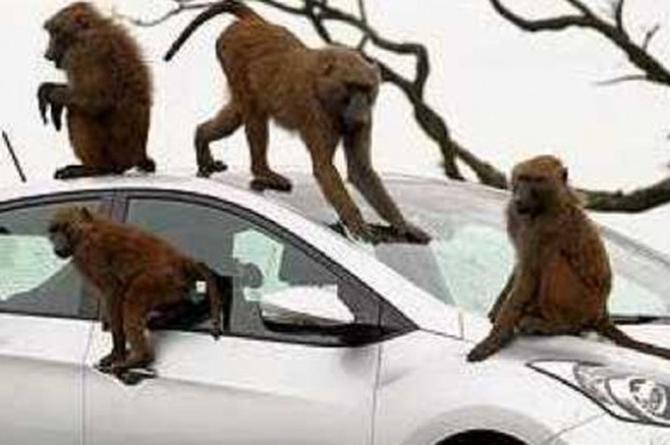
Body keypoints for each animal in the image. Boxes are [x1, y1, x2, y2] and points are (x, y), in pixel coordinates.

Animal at [38, 2, 155, 180]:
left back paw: (95, 169)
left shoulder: (81, 54)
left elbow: (97, 101)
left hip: (115, 155)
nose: (47, 54)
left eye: (55, 32)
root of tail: (137, 155)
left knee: (78, 112)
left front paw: (51, 93)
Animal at [47, 207, 228, 375]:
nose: (57, 246)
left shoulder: (91, 252)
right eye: (53, 232)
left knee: (132, 300)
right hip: (171, 286)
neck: (86, 232)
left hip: (158, 279)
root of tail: (182, 260)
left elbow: (113, 290)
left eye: (65, 228)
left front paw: (117, 353)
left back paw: (140, 358)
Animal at [163, 0, 430, 243]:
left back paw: (202, 138)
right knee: (253, 112)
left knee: (238, 113)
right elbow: (324, 167)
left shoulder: (365, 119)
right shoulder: (316, 111)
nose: (359, 111)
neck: (327, 86)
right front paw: (358, 226)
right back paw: (263, 171)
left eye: (366, 89)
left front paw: (403, 225)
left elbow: (360, 170)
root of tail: (255, 22)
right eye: (352, 87)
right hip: (231, 55)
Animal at [467, 155, 670, 362]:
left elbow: (529, 273)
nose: (519, 198)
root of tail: (602, 312)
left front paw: (493, 339)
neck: (543, 206)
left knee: (554, 261)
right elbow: (520, 265)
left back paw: (556, 325)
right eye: (522, 178)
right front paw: (494, 313)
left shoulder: (545, 228)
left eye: (537, 180)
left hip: (582, 305)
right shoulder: (515, 215)